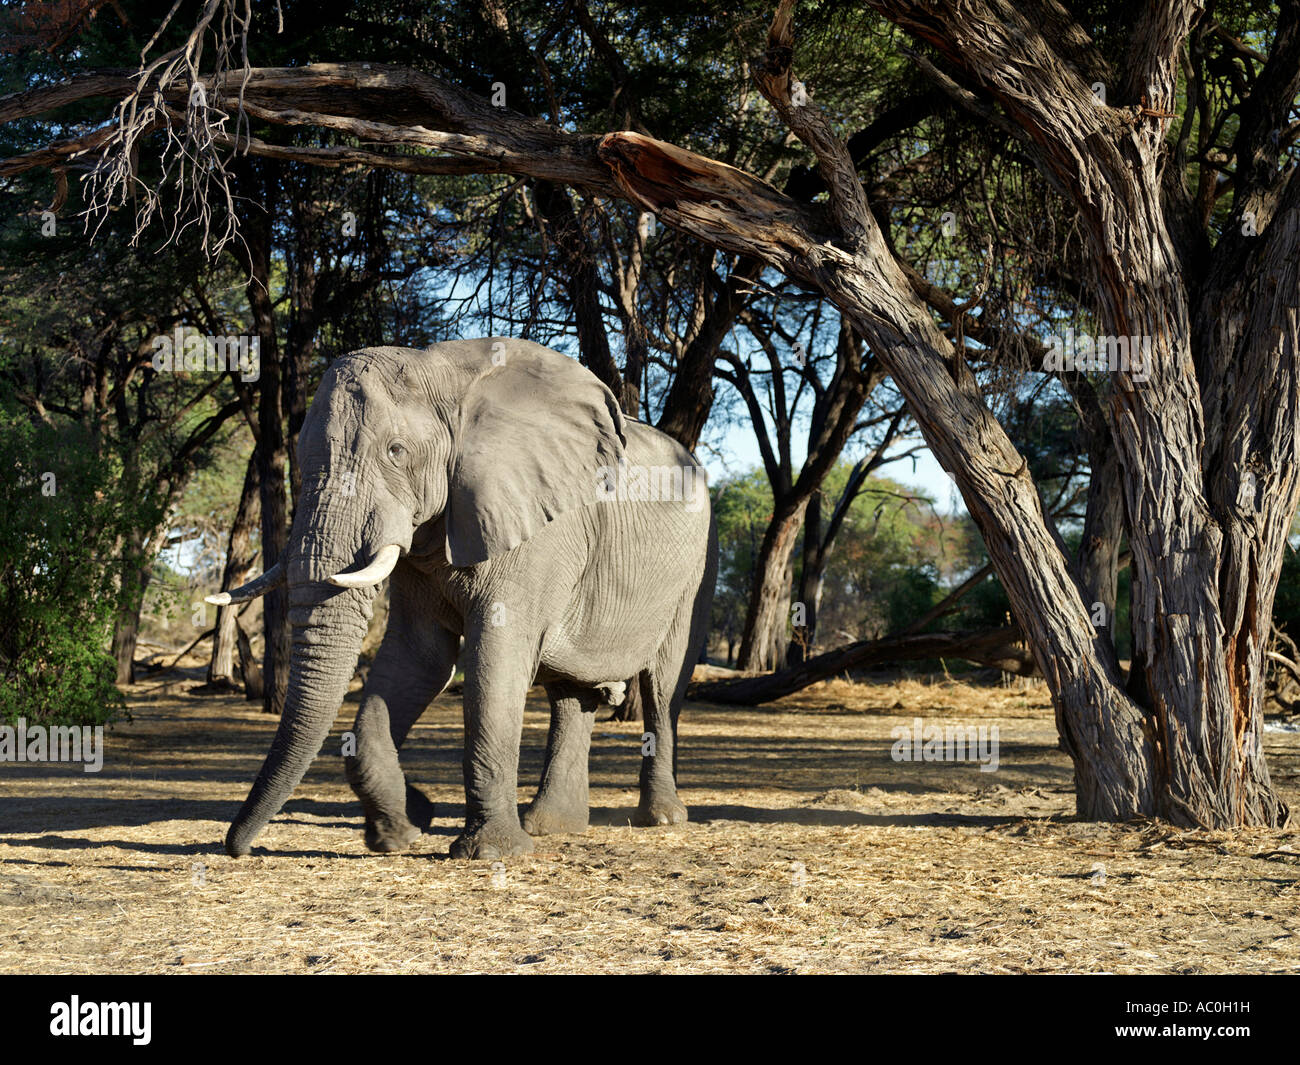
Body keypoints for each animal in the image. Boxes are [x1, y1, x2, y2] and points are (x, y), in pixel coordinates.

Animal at [209, 338, 717, 860]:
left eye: (396, 452)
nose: (235, 847)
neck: (441, 371)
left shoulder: (535, 526)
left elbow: (495, 659)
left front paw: (487, 853)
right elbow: (419, 658)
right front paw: (402, 828)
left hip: (699, 563)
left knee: (664, 686)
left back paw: (660, 819)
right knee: (572, 695)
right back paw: (551, 827)